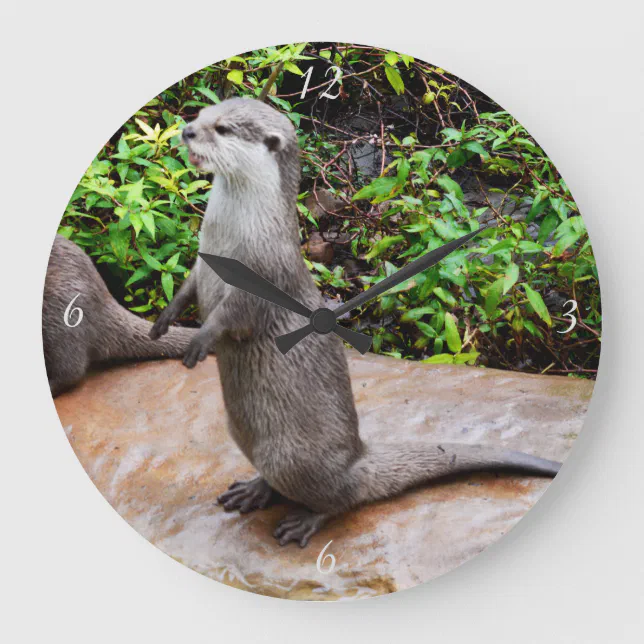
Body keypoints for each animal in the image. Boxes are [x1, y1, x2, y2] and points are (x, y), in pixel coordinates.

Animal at [150, 98, 561, 547]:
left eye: (222, 128)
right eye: (201, 115)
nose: (188, 131)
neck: (229, 237)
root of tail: (357, 459)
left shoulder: (265, 274)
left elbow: (233, 317)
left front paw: (199, 341)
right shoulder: (201, 259)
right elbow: (188, 286)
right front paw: (164, 321)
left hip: (291, 457)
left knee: (342, 499)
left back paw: (304, 521)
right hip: (243, 434)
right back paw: (254, 489)